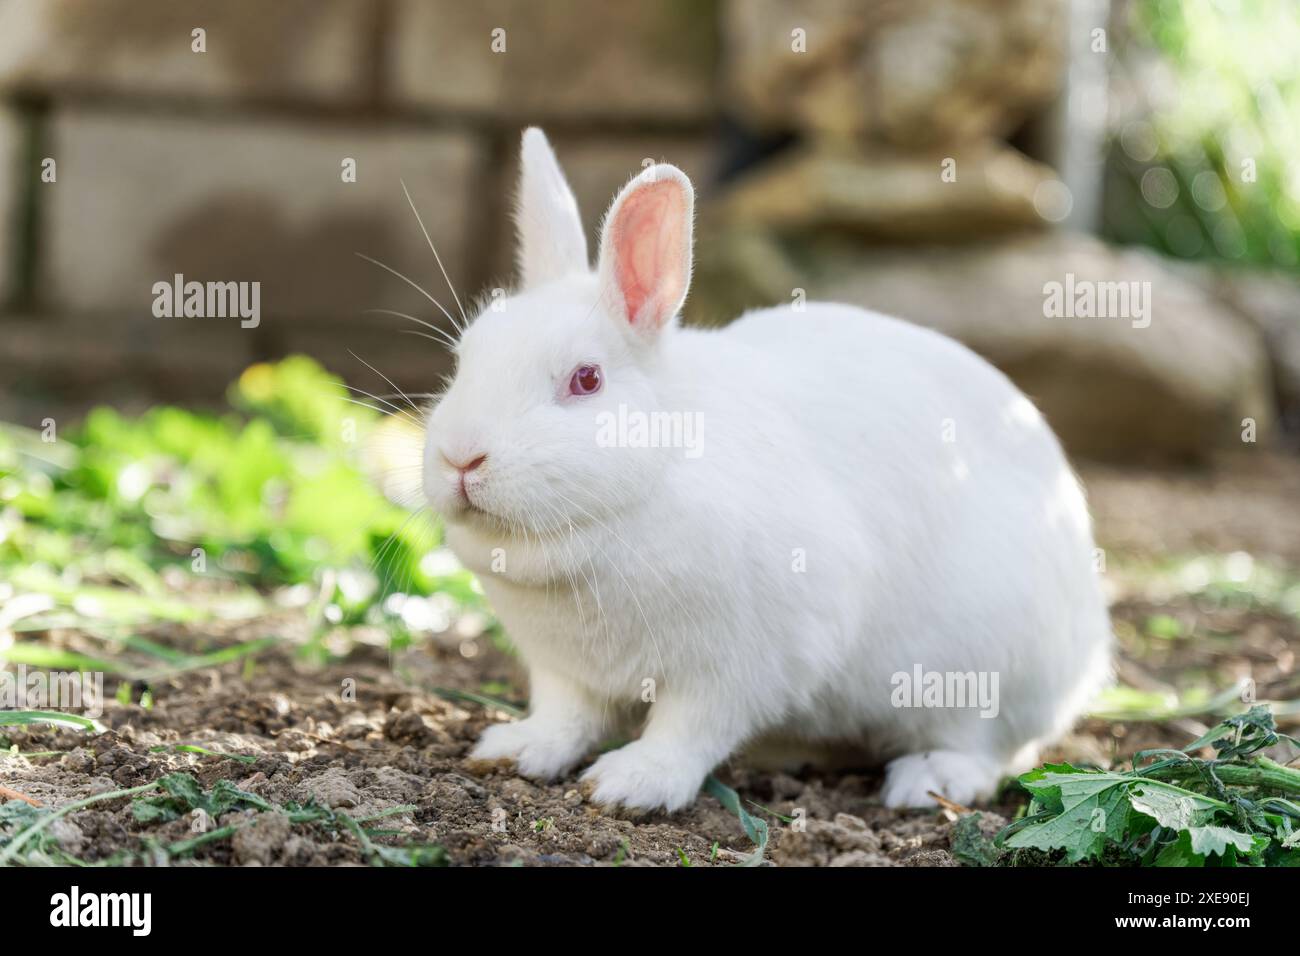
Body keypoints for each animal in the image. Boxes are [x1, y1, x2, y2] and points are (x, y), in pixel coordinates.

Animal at [422, 128, 1113, 812]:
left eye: (586, 379)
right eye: (463, 360)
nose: (462, 456)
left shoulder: (740, 666)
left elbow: (689, 728)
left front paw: (631, 784)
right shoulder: (565, 670)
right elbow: (566, 716)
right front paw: (515, 750)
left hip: (984, 674)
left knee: (987, 749)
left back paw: (926, 781)